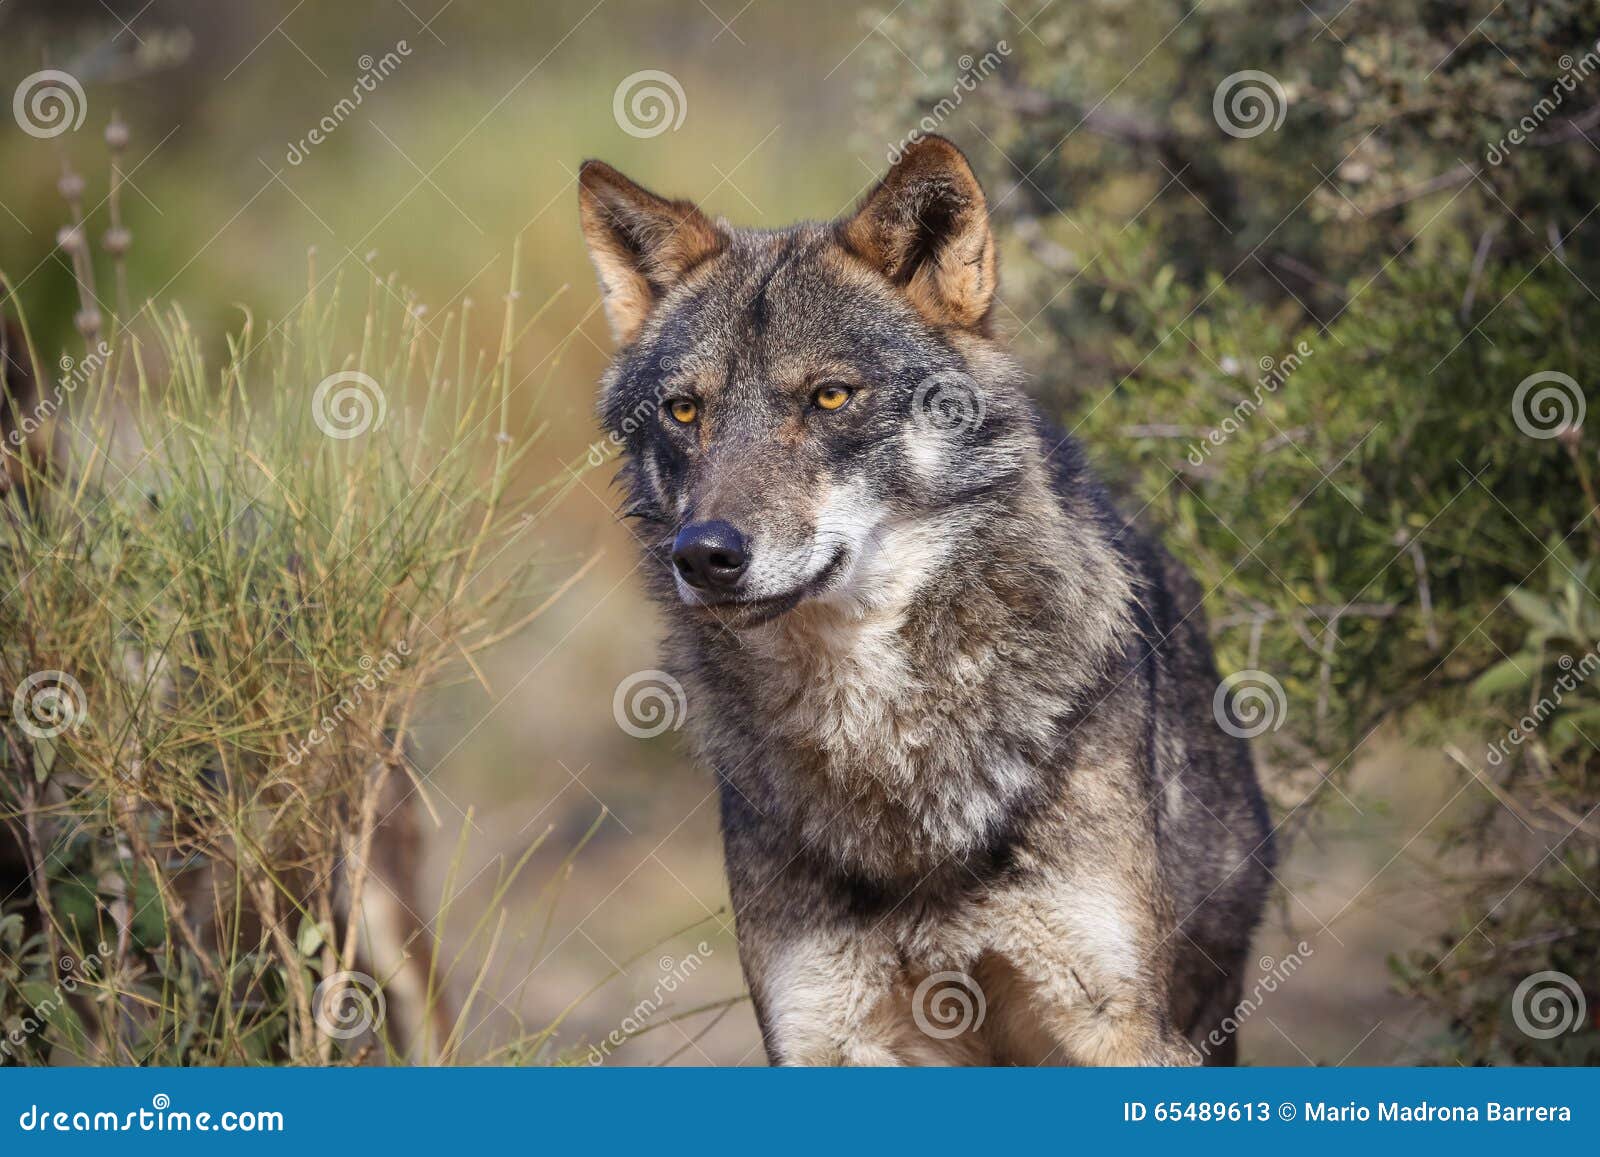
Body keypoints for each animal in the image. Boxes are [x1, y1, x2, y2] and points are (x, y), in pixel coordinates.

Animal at [578, 135, 1273, 1066]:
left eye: (830, 396)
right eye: (684, 411)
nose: (706, 554)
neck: (888, 748)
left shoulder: (1115, 1028)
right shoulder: (823, 1036)